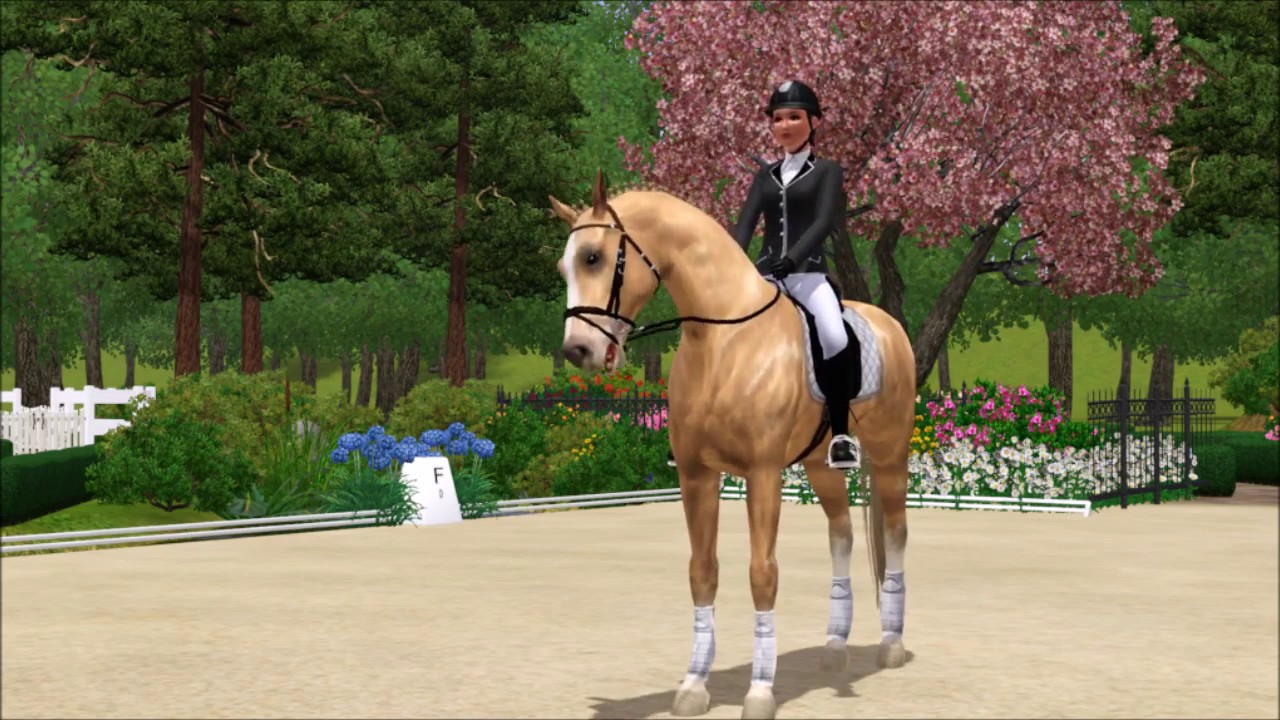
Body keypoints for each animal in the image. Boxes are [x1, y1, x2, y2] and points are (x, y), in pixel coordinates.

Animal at [549, 171, 916, 720]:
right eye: (564, 266)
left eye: (594, 257)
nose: (579, 351)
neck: (723, 340)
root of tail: (889, 323)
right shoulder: (697, 475)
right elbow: (702, 572)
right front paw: (693, 686)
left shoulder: (762, 475)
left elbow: (762, 574)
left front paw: (760, 693)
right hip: (820, 465)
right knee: (842, 535)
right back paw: (834, 649)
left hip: (891, 457)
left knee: (894, 532)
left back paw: (891, 645)